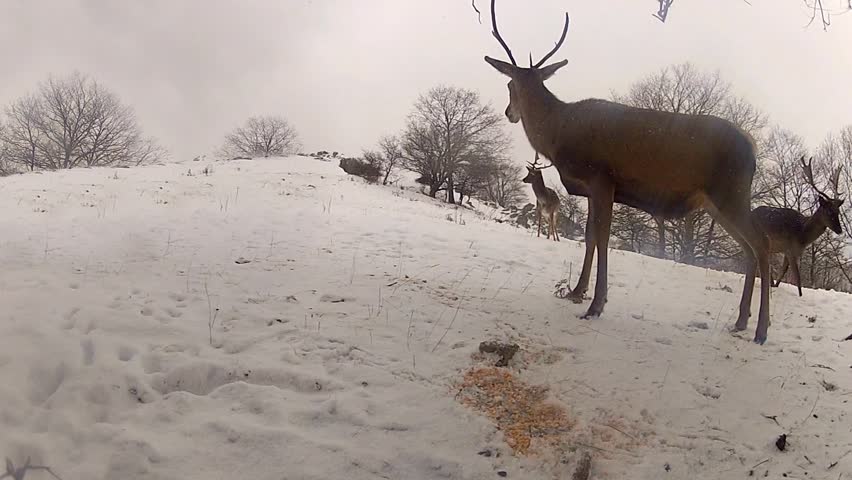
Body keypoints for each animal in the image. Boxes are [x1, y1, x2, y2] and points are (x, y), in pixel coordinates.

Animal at [482, 0, 773, 344]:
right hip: (717, 202)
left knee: (763, 245)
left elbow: (603, 236)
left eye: (509, 84)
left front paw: (596, 304)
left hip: (732, 192)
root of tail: (752, 147)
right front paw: (576, 292)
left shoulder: (602, 177)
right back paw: (741, 321)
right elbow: (589, 236)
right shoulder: (589, 188)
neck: (558, 133)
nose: (509, 112)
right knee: (749, 249)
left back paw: (761, 330)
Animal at [751, 156, 844, 297]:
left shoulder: (791, 251)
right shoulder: (791, 249)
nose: (840, 230)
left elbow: (782, 273)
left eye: (838, 212)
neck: (802, 234)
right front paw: (800, 296)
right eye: (829, 211)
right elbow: (798, 277)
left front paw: (775, 285)